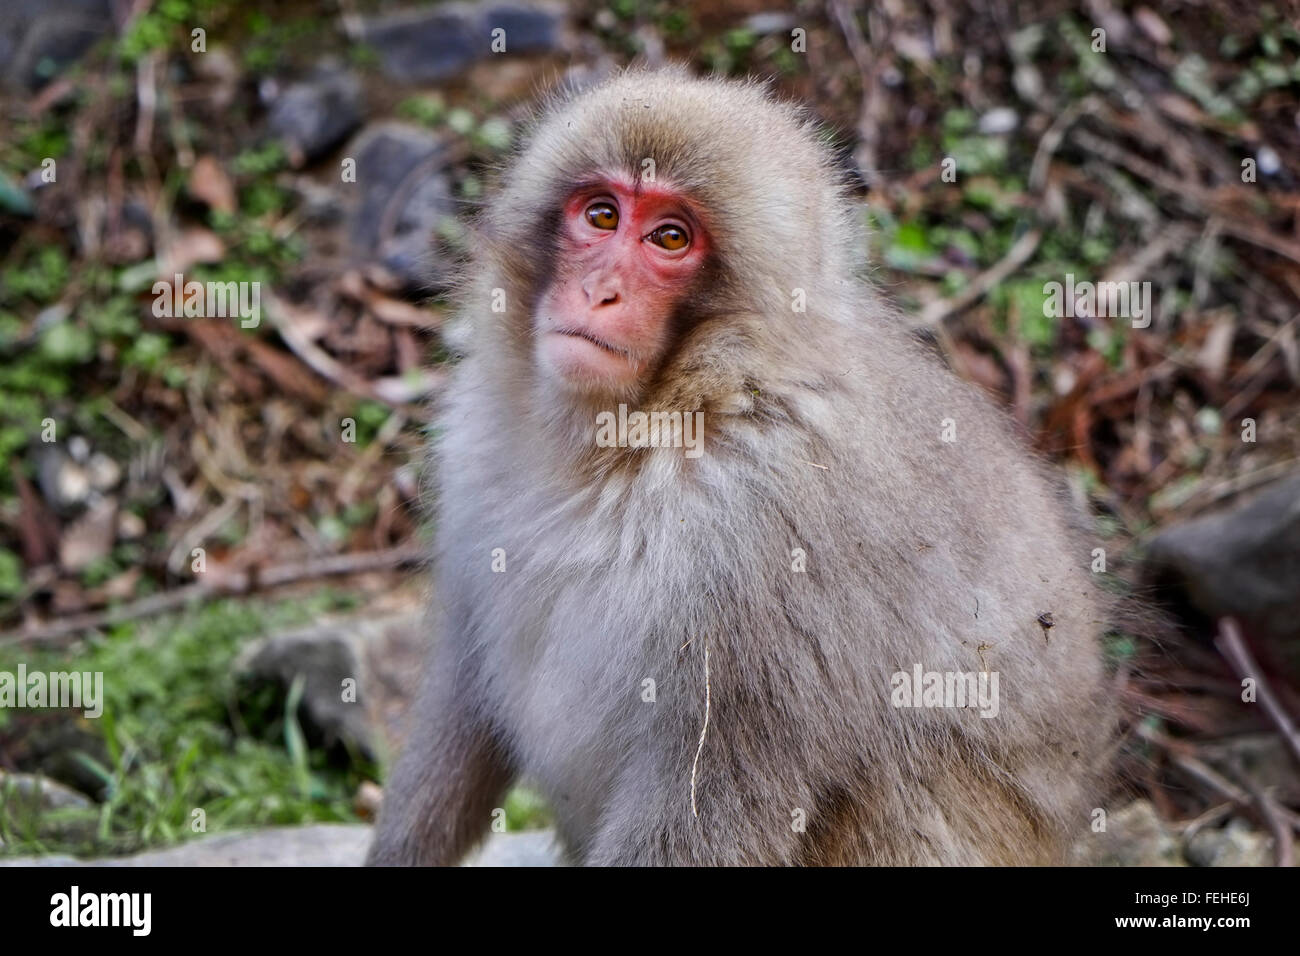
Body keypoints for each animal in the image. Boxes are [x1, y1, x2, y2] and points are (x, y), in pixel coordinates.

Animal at [366, 67, 1115, 866]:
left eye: (670, 237)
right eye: (601, 215)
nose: (599, 290)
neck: (645, 433)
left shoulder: (771, 539)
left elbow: (710, 800)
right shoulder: (478, 446)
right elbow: (462, 698)